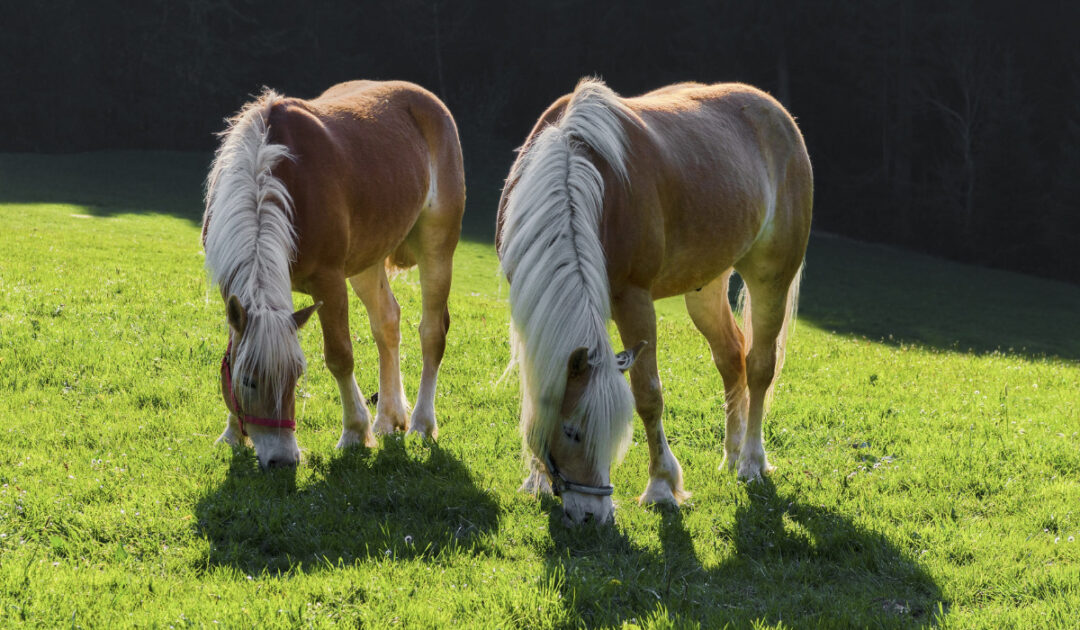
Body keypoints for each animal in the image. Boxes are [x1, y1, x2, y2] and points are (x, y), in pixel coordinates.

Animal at [202, 81, 465, 469]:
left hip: (437, 247)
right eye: (249, 381)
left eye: (296, 376)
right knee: (387, 323)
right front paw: (234, 433)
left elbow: (339, 357)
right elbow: (234, 352)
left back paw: (420, 424)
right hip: (367, 262)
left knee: (432, 332)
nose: (282, 460)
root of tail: (427, 100)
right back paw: (388, 418)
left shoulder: (329, 283)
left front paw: (355, 432)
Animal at [497, 79, 812, 524]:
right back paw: (732, 456)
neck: (577, 174)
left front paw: (661, 485)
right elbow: (535, 389)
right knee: (731, 359)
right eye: (572, 431)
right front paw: (537, 480)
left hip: (771, 278)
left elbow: (648, 395)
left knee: (759, 367)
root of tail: (779, 115)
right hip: (706, 287)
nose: (592, 515)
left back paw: (751, 462)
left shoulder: (634, 301)